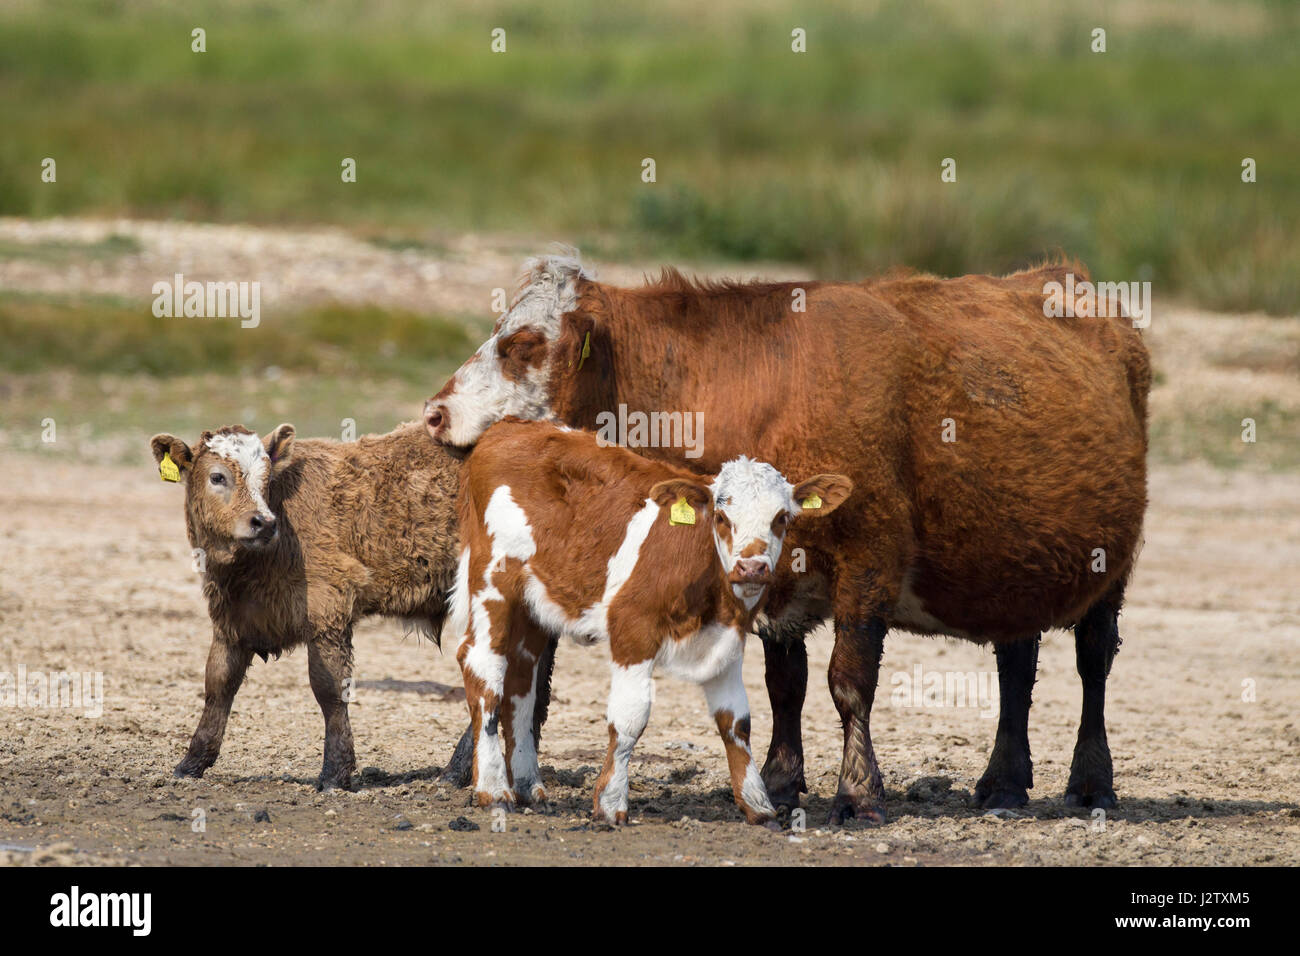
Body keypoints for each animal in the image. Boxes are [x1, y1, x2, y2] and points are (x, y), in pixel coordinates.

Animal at [150, 421, 466, 789]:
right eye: (217, 477)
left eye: (266, 478)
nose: (264, 522)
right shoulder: (233, 620)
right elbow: (218, 684)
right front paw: (190, 764)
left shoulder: (328, 608)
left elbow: (329, 689)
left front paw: (335, 772)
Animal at [448, 418, 851, 825]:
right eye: (722, 517)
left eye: (781, 518)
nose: (752, 567)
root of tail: (509, 427)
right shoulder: (632, 629)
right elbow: (629, 718)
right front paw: (611, 802)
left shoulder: (728, 639)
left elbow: (736, 721)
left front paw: (758, 804)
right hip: (494, 584)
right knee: (483, 668)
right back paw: (494, 789)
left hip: (534, 604)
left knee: (521, 680)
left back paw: (529, 786)